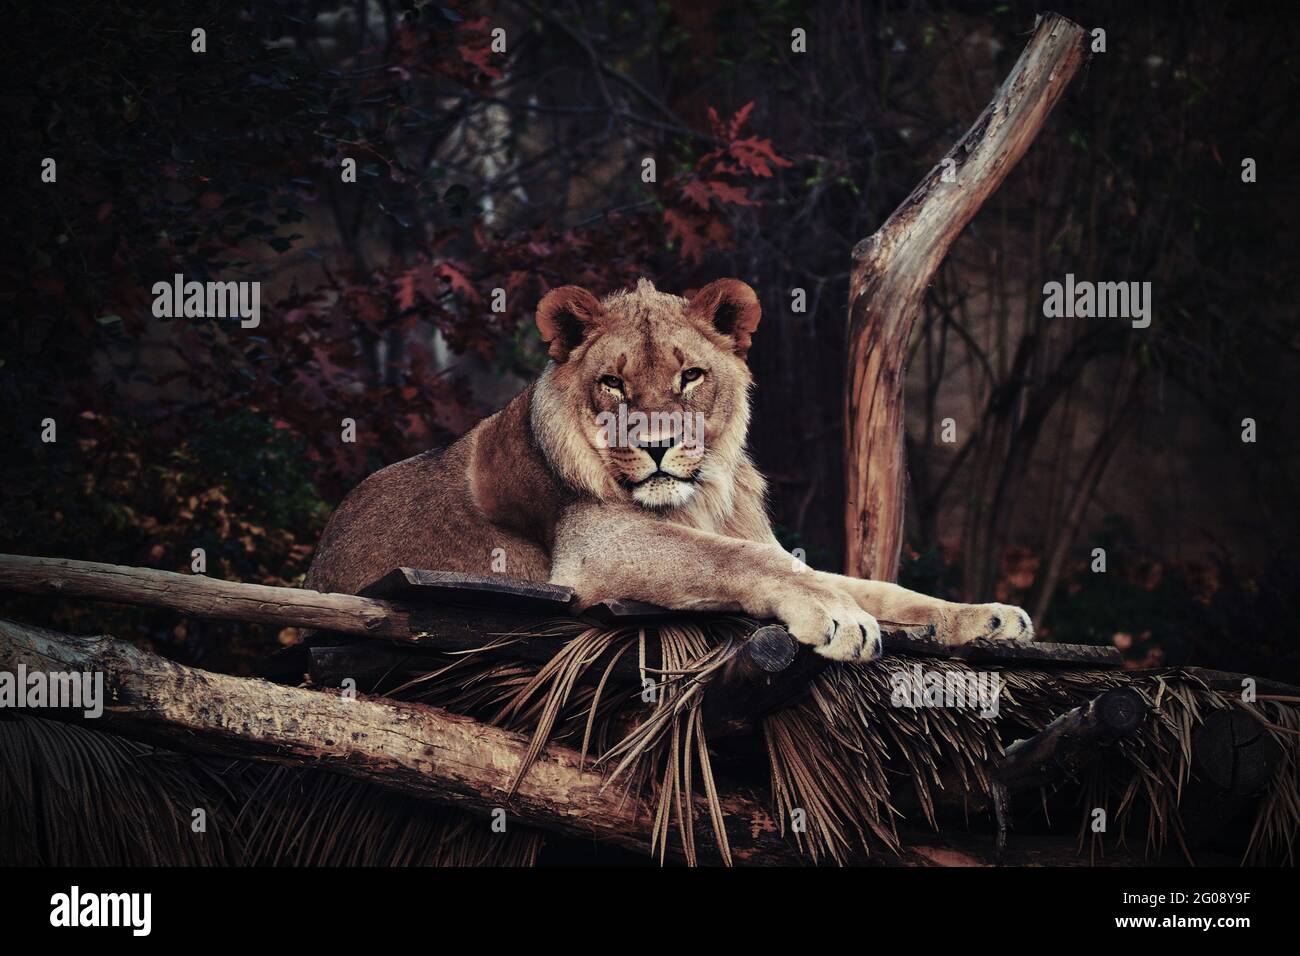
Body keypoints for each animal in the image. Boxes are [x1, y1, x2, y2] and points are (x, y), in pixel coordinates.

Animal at [305, 277, 1031, 660]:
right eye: (613, 384)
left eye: (690, 377)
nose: (656, 445)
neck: (699, 499)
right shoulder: (595, 548)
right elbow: (738, 561)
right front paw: (835, 614)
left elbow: (876, 586)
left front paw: (985, 617)